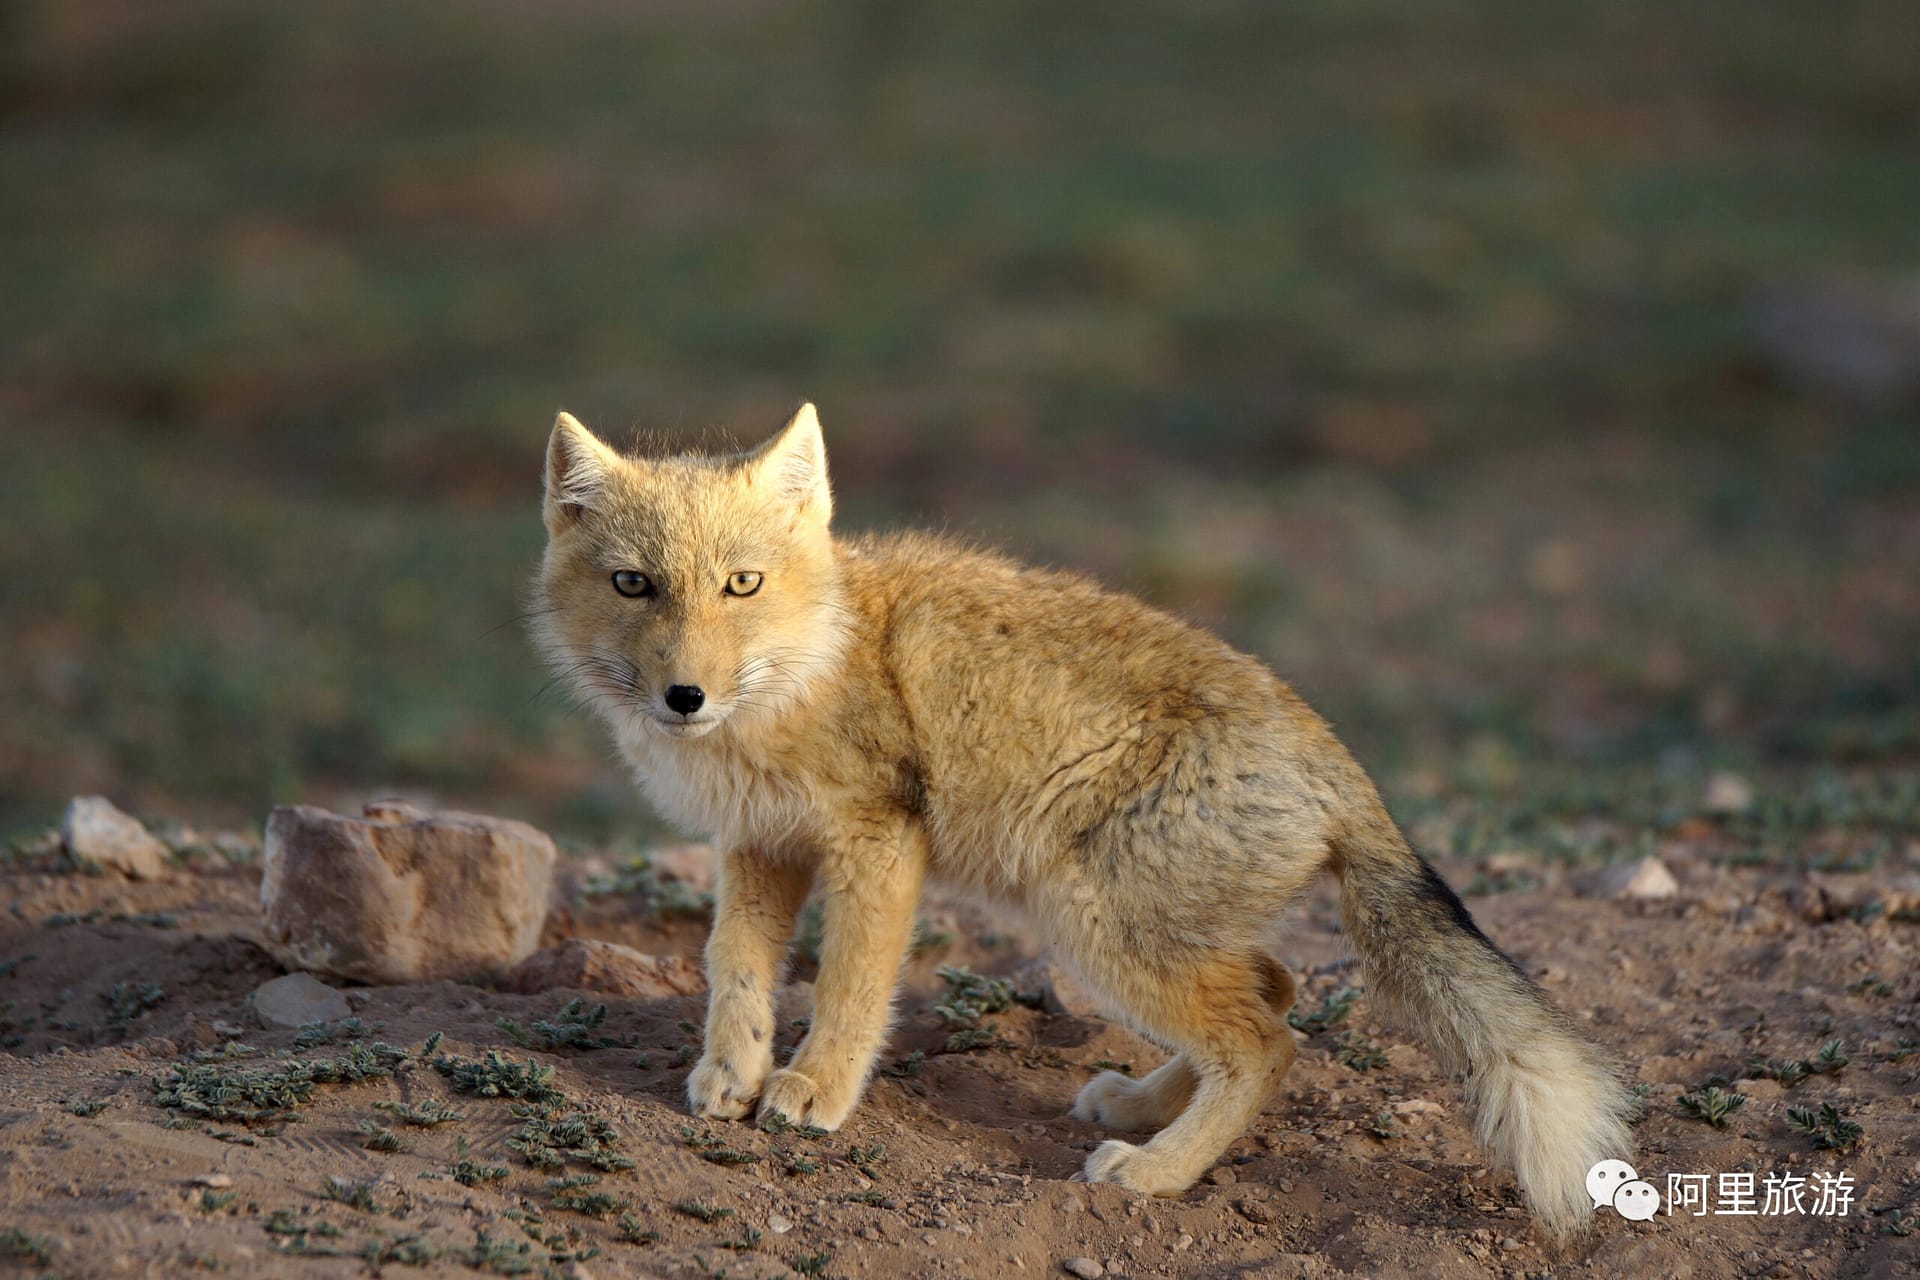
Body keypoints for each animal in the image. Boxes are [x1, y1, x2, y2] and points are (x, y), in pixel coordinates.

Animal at [531, 403, 1633, 1237]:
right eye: (634, 584)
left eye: (741, 584)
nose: (684, 696)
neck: (810, 661)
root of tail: (1340, 764)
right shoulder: (761, 845)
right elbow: (735, 965)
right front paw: (731, 1070)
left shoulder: (874, 842)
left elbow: (848, 983)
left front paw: (814, 1090)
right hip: (1138, 930)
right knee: (1274, 994)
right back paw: (1142, 1106)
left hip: (1091, 922)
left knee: (1267, 1042)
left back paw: (1154, 1170)